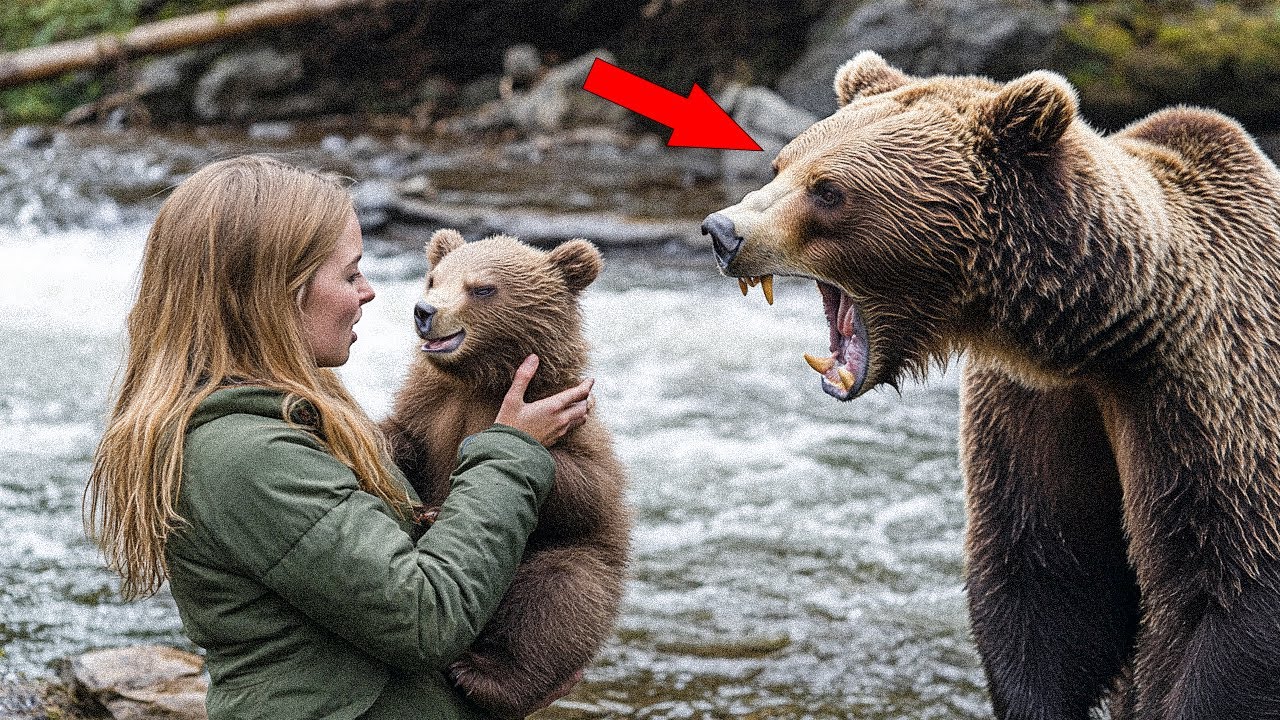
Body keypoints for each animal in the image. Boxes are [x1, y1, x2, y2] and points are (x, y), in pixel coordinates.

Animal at [380, 229, 631, 718]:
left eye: (482, 288)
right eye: (434, 278)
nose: (425, 312)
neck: (482, 383)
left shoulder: (575, 424)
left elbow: (589, 488)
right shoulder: (429, 408)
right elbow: (402, 439)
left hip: (571, 561)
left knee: (560, 595)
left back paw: (484, 674)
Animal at [702, 51, 1280, 719]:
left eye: (829, 190)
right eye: (780, 164)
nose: (723, 231)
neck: (1108, 335)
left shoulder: (1208, 404)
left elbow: (1225, 596)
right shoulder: (1036, 405)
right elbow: (1047, 575)